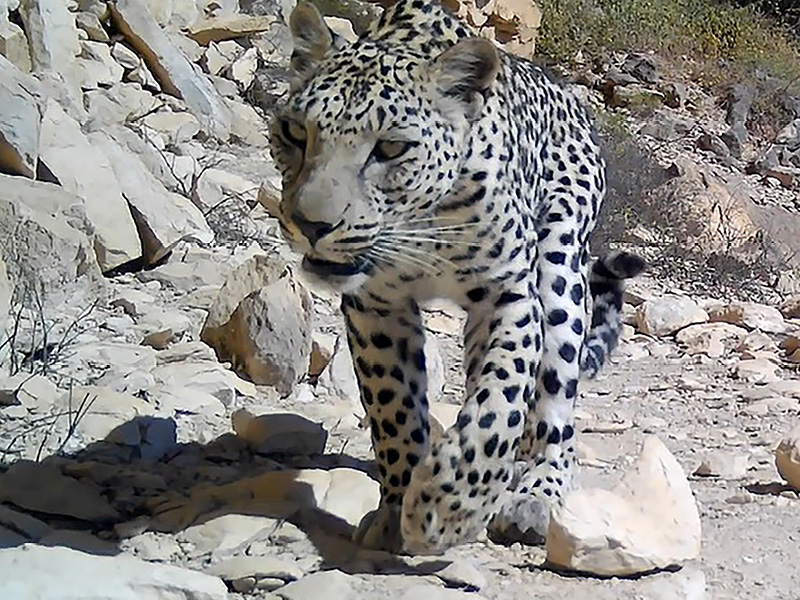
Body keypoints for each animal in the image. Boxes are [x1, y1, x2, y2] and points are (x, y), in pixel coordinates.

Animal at [268, 0, 645, 555]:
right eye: (295, 133)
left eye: (391, 149)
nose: (311, 224)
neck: (424, 222)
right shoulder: (376, 306)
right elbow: (394, 408)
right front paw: (399, 504)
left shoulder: (509, 297)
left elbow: (501, 400)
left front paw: (447, 508)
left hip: (560, 268)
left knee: (554, 410)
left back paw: (534, 492)